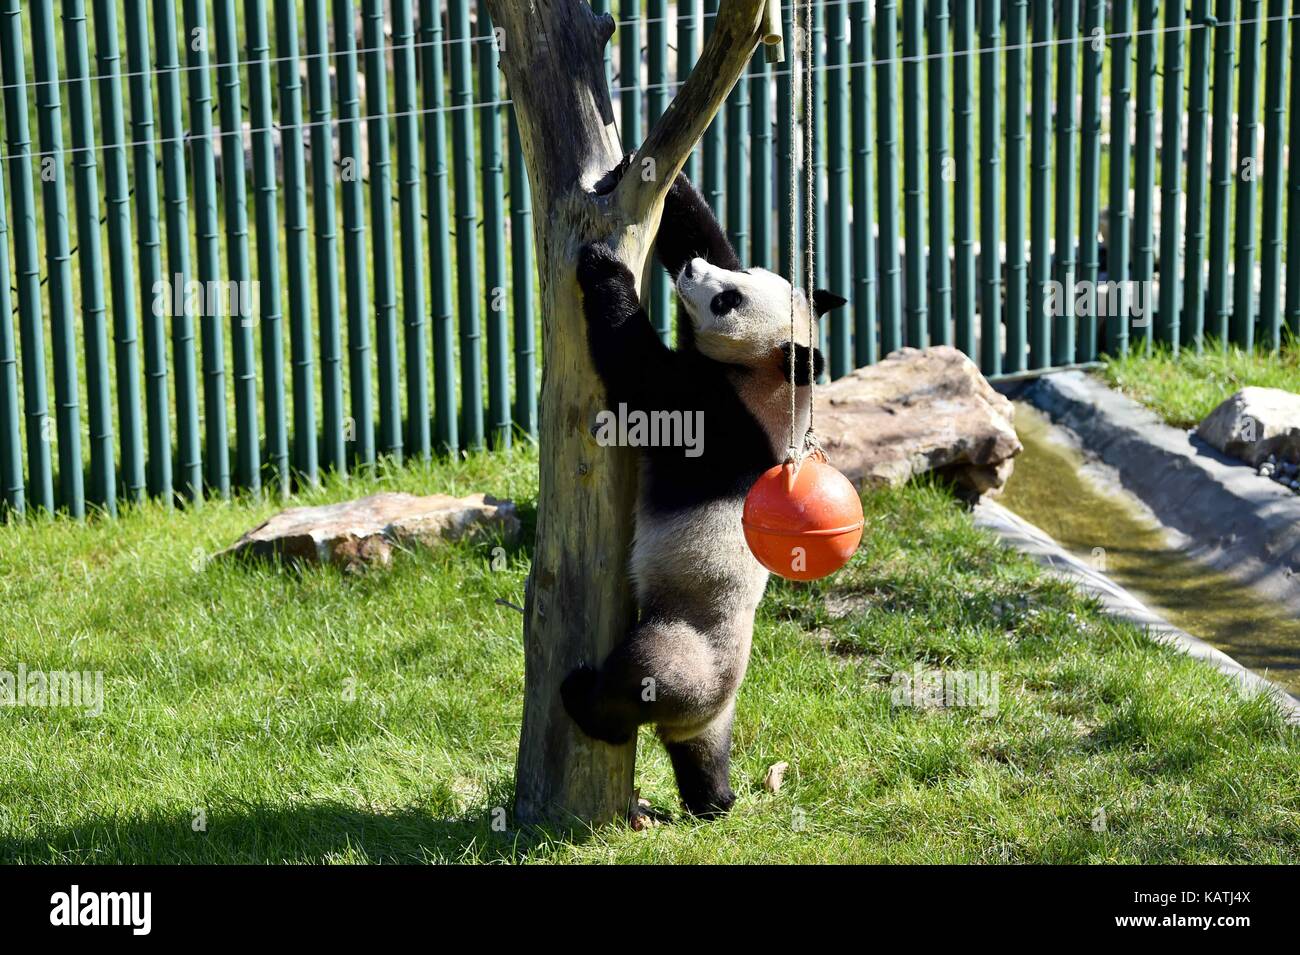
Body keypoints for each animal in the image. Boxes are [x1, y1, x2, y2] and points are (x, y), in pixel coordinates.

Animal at [561, 166, 846, 818]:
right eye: (744, 277)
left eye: (728, 300)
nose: (693, 271)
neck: (767, 382)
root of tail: (708, 711)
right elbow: (704, 229)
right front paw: (644, 175)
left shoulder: (717, 415)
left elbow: (639, 373)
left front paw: (605, 269)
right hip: (708, 712)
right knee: (700, 757)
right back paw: (713, 797)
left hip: (685, 642)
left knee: (640, 676)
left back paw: (585, 700)